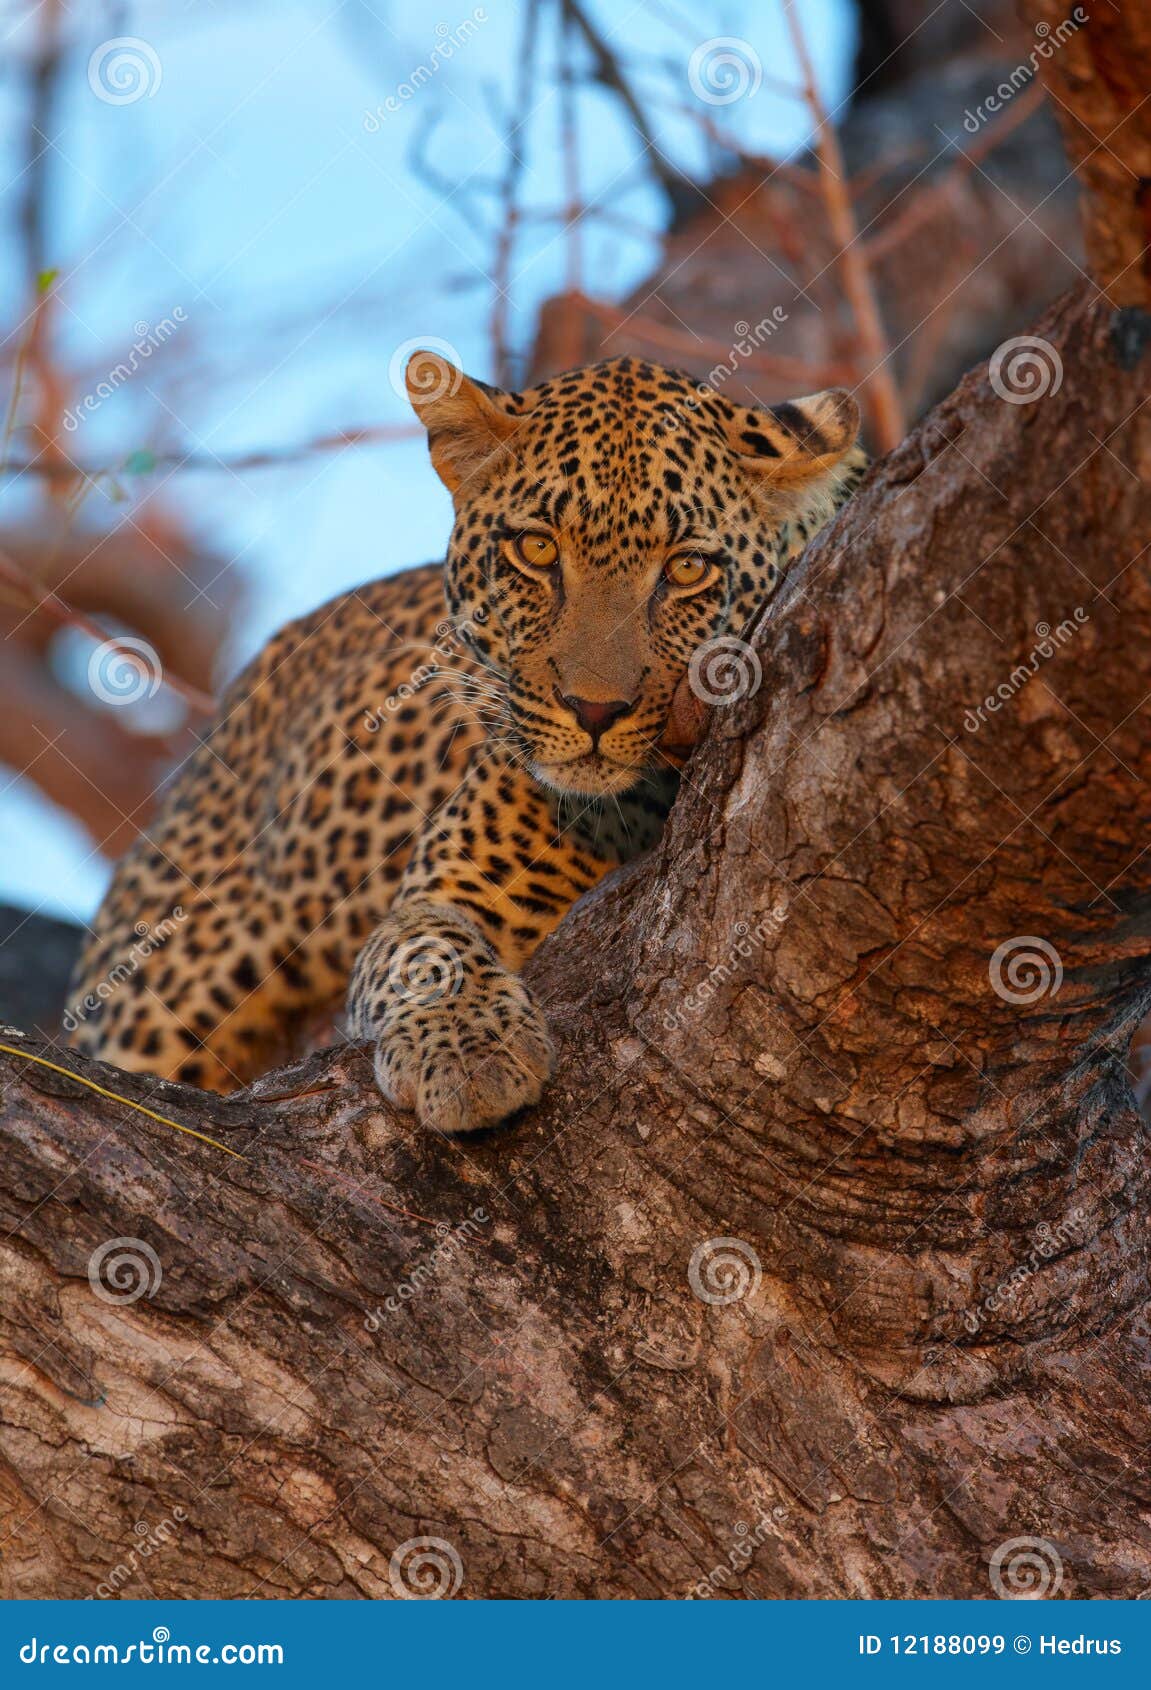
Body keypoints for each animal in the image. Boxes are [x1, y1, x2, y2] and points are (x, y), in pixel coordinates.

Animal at [66, 350, 866, 1134]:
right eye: (537, 550)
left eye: (688, 568)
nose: (595, 709)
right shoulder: (448, 887)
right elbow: (422, 947)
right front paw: (466, 1049)